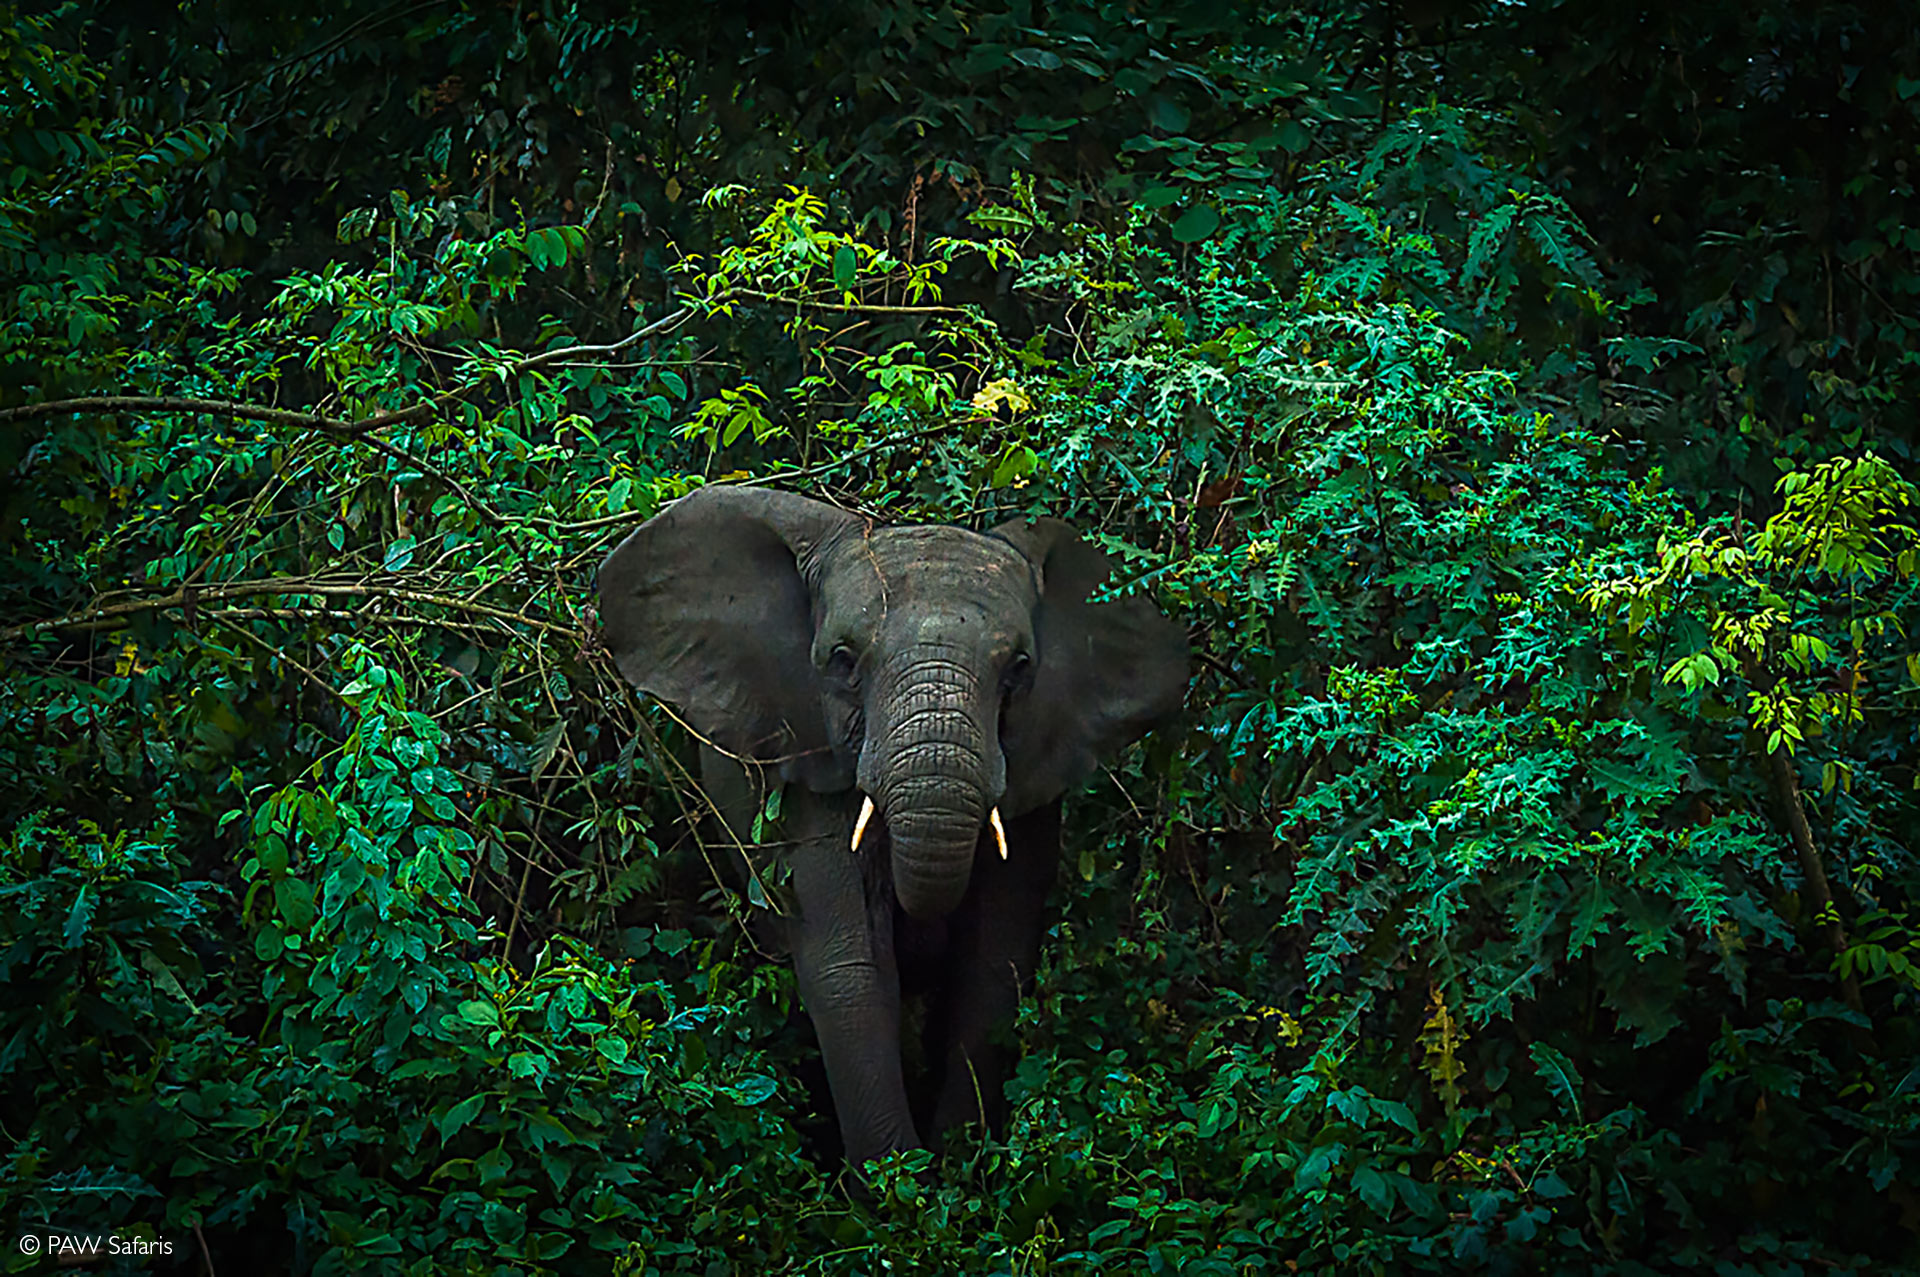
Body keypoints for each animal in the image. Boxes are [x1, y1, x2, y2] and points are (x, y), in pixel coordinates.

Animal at [596, 485, 1187, 1169]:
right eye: (843, 659)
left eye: (1019, 668)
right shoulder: (813, 767)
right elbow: (848, 968)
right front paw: (894, 1182)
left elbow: (994, 966)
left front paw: (957, 1168)